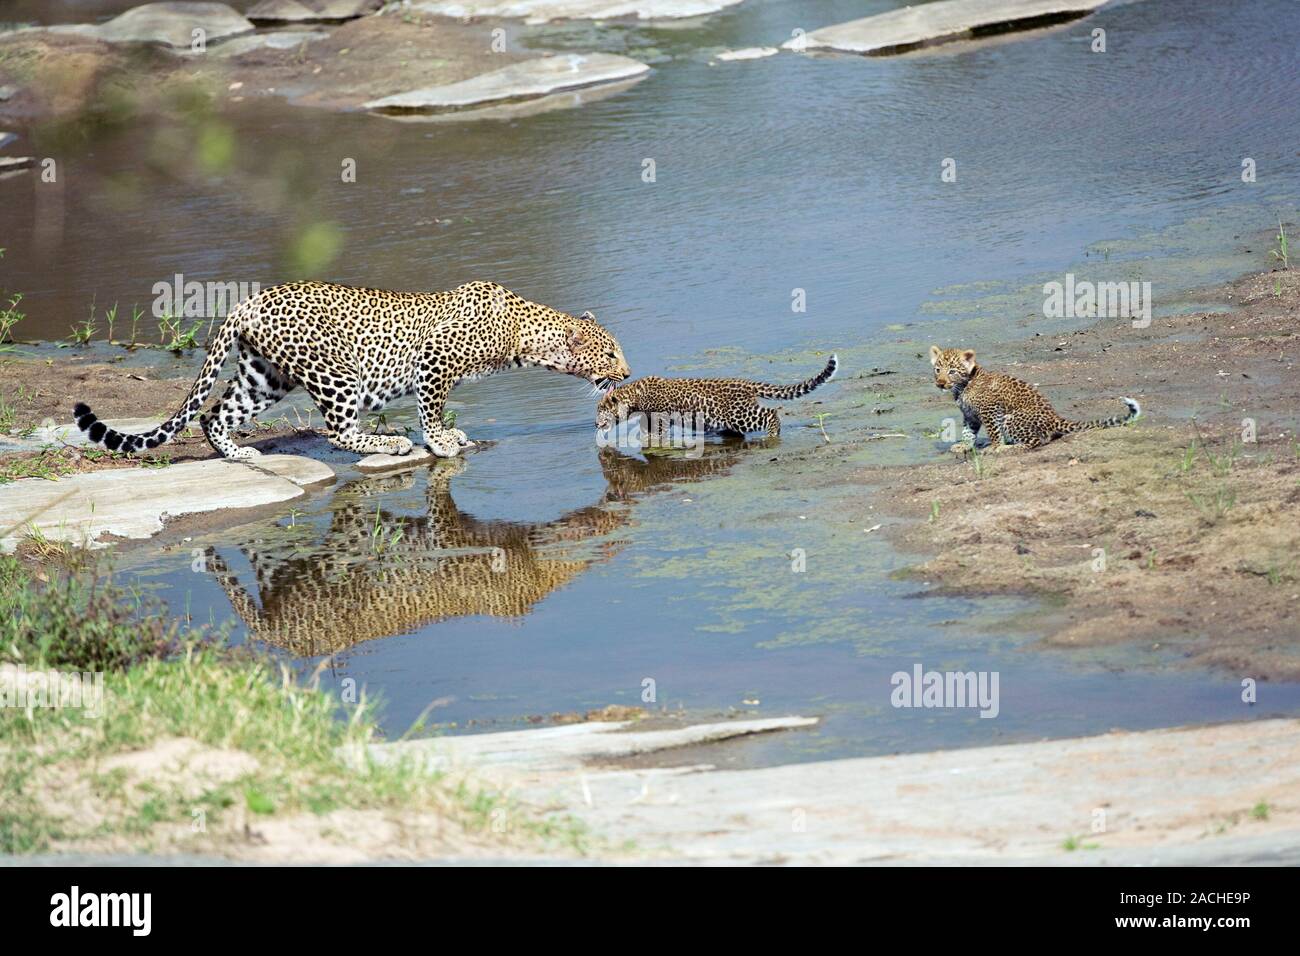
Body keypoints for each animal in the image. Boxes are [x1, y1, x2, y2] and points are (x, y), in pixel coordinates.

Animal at [72, 280, 630, 461]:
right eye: (609, 355)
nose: (626, 374)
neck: (523, 335)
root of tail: (248, 302)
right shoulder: (434, 363)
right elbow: (431, 410)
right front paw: (440, 442)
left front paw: (450, 437)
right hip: (336, 373)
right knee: (339, 432)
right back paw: (390, 443)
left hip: (265, 377)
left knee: (214, 415)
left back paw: (240, 453)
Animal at [594, 354, 838, 439]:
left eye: (601, 410)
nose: (596, 423)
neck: (634, 395)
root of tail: (746, 384)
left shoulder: (659, 416)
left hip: (742, 415)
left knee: (771, 414)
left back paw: (771, 435)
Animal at [929, 346, 1140, 453]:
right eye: (938, 369)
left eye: (952, 371)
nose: (940, 383)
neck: (963, 387)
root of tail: (1055, 418)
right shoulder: (970, 414)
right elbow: (968, 432)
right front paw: (964, 445)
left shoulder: (990, 410)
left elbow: (993, 431)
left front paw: (996, 446)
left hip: (1011, 419)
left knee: (1037, 441)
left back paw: (1008, 449)